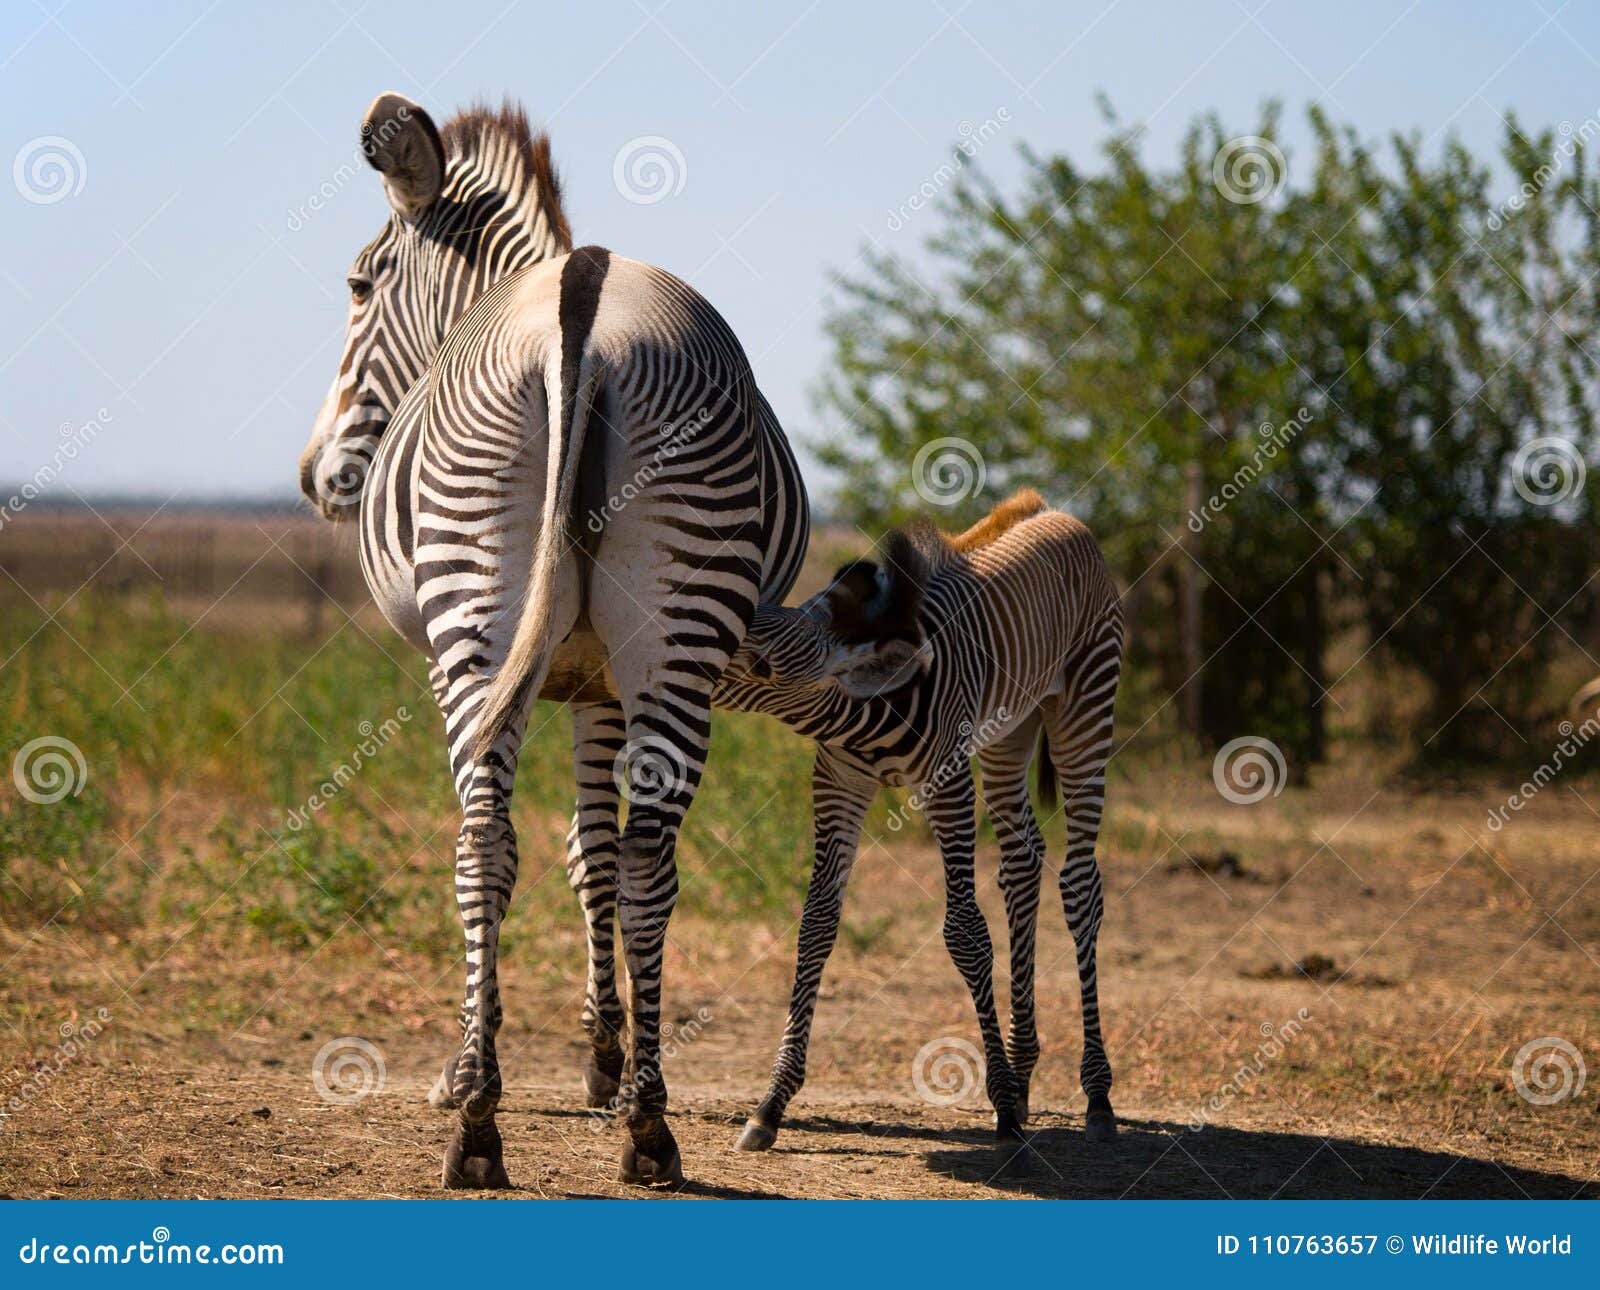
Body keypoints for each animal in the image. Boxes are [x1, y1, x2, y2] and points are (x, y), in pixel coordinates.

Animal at [296, 94, 809, 1189]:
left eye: (359, 283)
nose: (317, 477)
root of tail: (582, 306)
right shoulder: (602, 681)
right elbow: (597, 854)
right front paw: (607, 1063)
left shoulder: (576, 684)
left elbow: (577, 852)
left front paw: (529, 1060)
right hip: (669, 632)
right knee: (639, 856)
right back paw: (644, 1130)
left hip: (473, 628)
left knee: (481, 841)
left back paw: (477, 1119)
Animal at [712, 489, 1122, 1167]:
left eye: (764, 666)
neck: (870, 713)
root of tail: (1055, 511)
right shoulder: (839, 781)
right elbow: (816, 924)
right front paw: (772, 1104)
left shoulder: (947, 785)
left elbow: (965, 932)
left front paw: (1003, 1112)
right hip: (1010, 732)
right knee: (1021, 864)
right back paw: (1025, 1076)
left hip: (1085, 709)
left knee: (1081, 886)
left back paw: (1095, 1097)